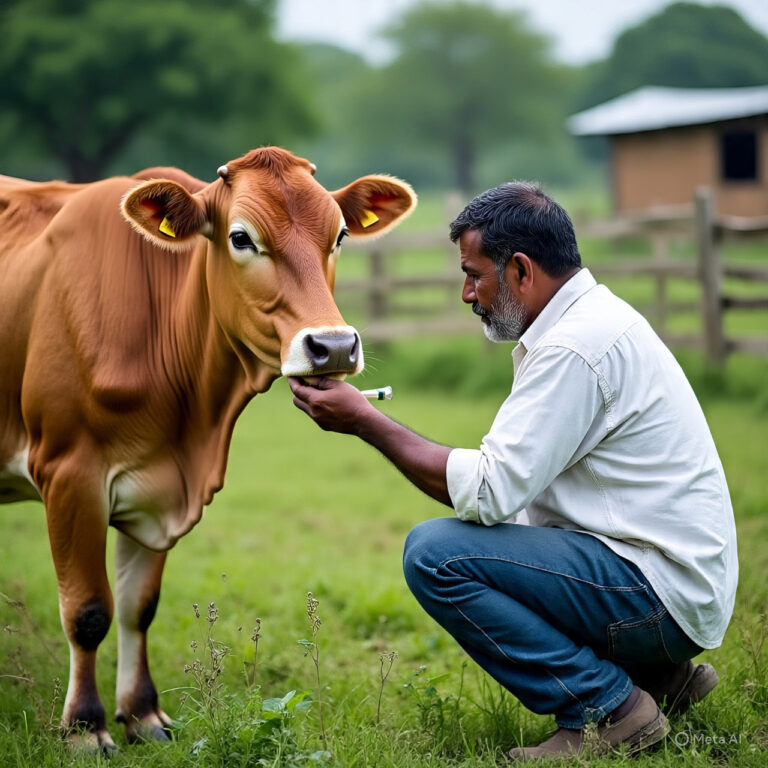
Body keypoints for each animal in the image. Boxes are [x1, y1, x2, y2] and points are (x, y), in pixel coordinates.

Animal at [0, 147, 416, 752]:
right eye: (241, 238)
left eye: (339, 235)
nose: (334, 346)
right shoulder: (69, 471)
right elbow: (89, 609)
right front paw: (83, 727)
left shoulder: (156, 487)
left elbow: (137, 607)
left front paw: (141, 713)